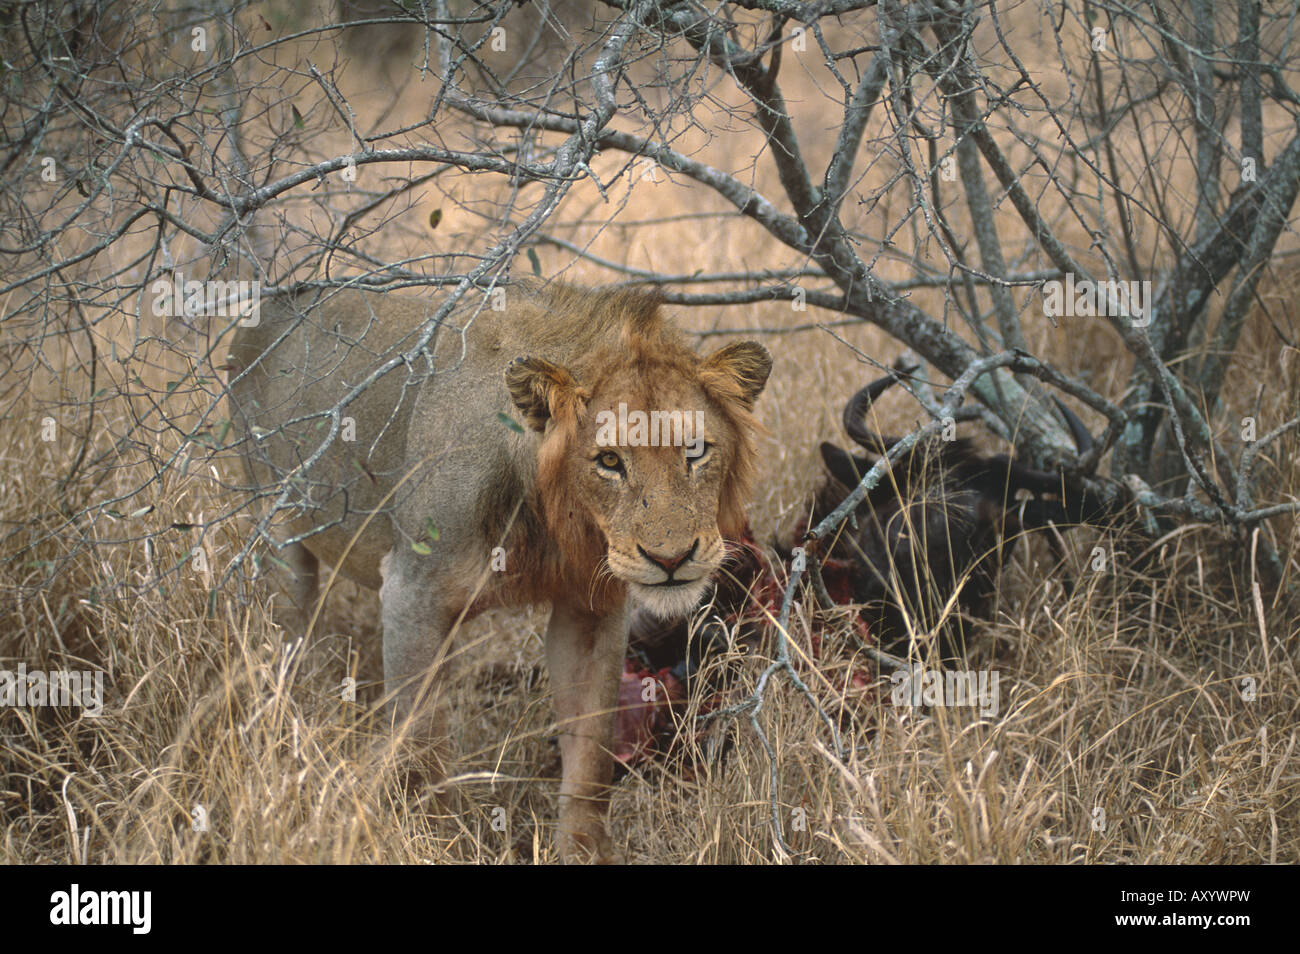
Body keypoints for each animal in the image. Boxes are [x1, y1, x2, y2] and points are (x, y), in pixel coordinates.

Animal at [225, 281, 771, 862]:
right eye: (609, 461)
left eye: (696, 450)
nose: (671, 559)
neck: (551, 516)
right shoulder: (411, 593)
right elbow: (422, 743)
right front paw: (436, 843)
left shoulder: (590, 610)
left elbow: (591, 749)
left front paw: (582, 849)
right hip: (279, 537)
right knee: (287, 631)